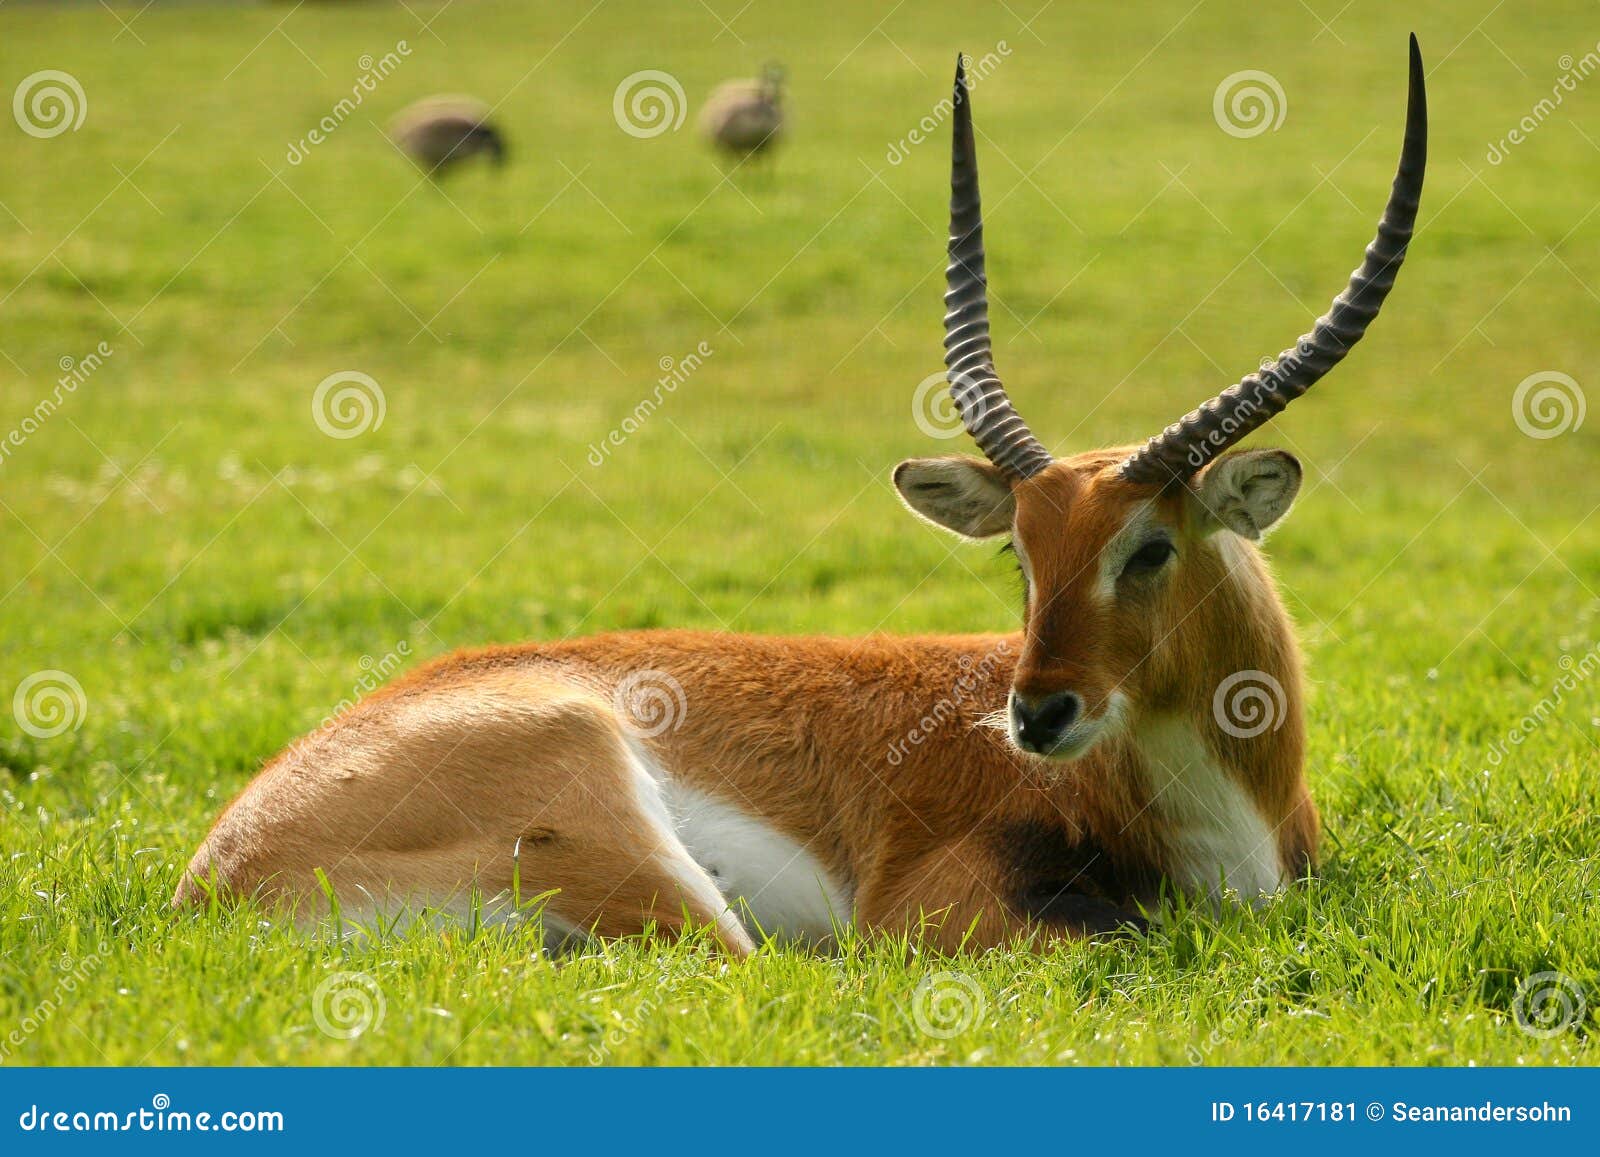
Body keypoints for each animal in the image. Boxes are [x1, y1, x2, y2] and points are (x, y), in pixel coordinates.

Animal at [178, 41, 1426, 954]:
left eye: (1149, 545)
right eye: (1020, 554)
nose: (1035, 713)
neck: (1222, 820)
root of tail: (221, 873)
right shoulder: (929, 911)